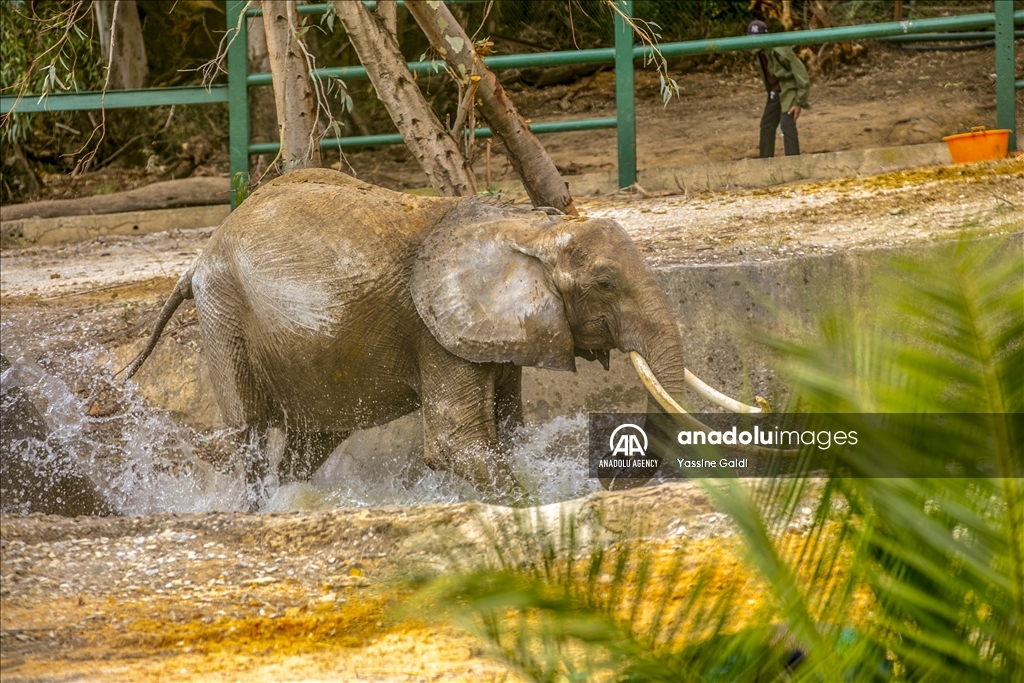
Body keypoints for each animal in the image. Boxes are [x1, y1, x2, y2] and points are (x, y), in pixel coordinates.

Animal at [127, 169, 765, 509]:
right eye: (606, 284)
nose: (605, 484)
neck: (529, 227)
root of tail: (198, 257)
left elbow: (507, 426)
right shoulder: (435, 330)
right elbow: (456, 444)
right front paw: (541, 504)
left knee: (312, 441)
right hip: (225, 315)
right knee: (251, 437)